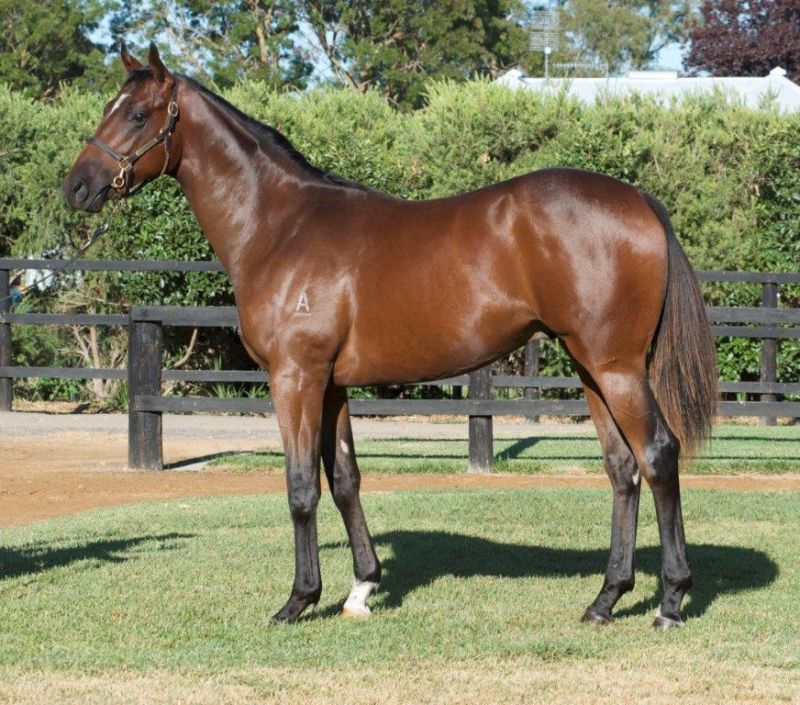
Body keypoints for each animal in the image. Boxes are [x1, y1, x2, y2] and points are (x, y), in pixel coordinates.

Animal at [64, 43, 717, 629]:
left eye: (137, 114)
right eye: (108, 107)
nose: (76, 187)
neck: (281, 226)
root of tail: (638, 200)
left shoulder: (294, 377)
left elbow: (301, 487)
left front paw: (298, 601)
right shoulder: (330, 385)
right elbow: (345, 479)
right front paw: (361, 588)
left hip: (615, 368)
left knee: (658, 456)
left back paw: (670, 602)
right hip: (591, 369)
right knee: (622, 468)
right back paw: (606, 600)